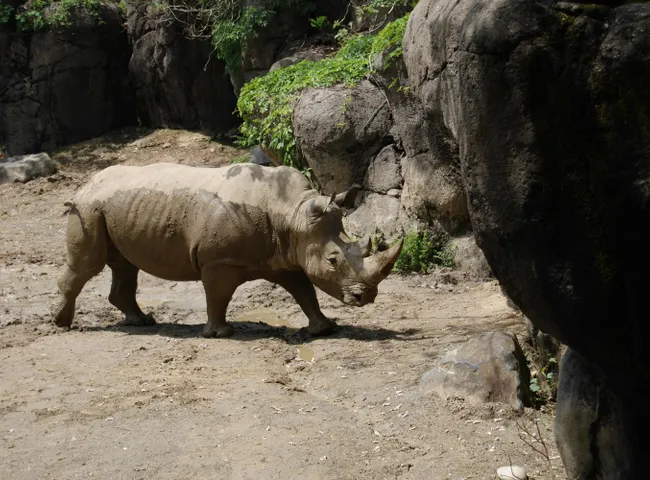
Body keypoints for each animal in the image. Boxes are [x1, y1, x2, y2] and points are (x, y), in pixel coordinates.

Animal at [52, 162, 403, 337]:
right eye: (333, 260)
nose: (366, 297)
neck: (293, 215)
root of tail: (86, 183)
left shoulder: (287, 255)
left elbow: (304, 291)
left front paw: (324, 329)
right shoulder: (219, 260)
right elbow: (218, 295)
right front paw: (220, 333)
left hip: (114, 208)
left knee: (125, 265)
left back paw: (141, 322)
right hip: (87, 209)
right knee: (89, 265)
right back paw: (62, 324)